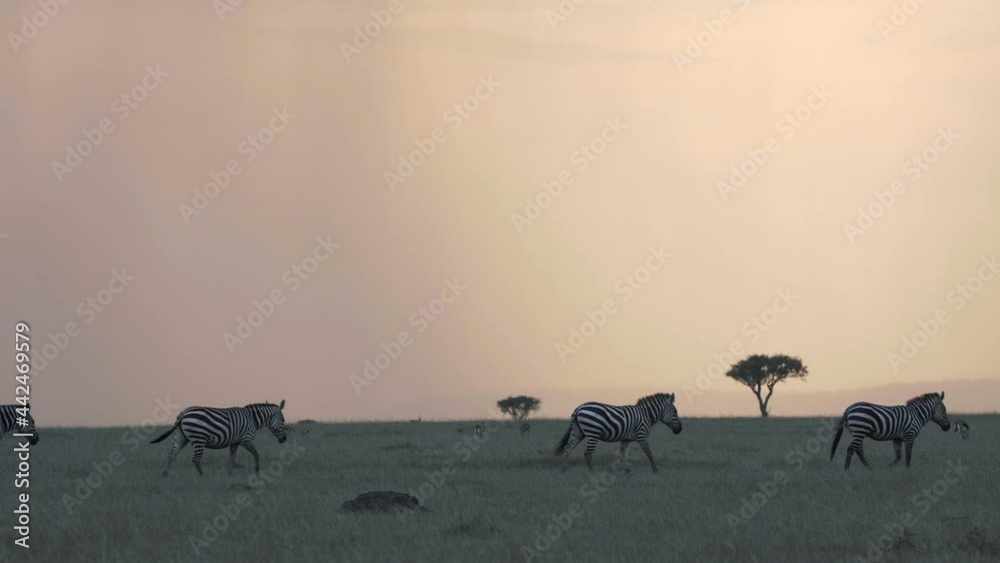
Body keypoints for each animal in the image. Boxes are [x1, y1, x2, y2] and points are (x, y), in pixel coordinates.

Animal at [150, 400, 287, 476]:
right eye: (283, 420)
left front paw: (230, 475)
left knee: (171, 454)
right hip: (199, 438)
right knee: (195, 459)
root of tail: (184, 413)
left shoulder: (235, 442)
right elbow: (256, 454)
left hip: (181, 437)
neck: (252, 419)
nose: (284, 440)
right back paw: (203, 476)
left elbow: (232, 459)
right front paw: (257, 471)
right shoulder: (245, 439)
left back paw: (165, 475)